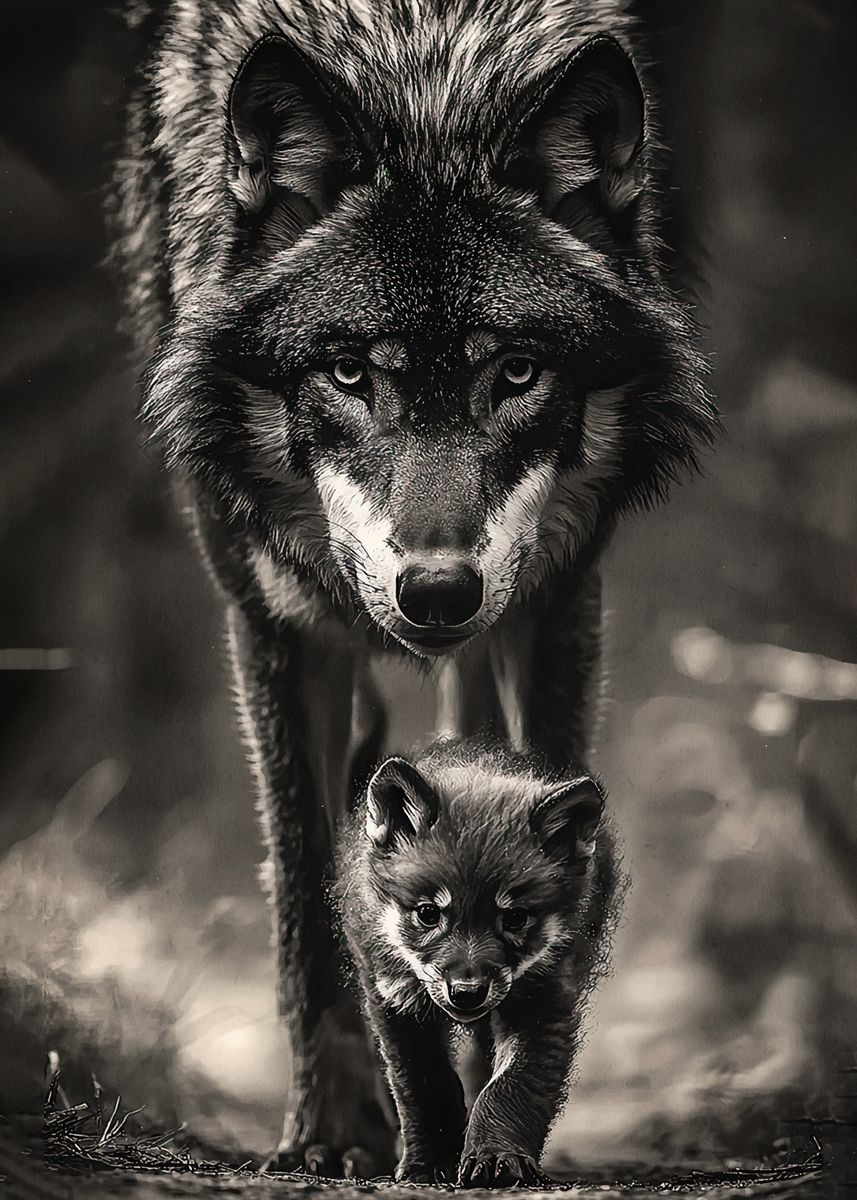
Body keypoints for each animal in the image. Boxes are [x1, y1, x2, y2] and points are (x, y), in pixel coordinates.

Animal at [336, 741, 620, 1186]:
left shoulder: (544, 1000)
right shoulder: (394, 1000)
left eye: (515, 918)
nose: (467, 993)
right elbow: (423, 1084)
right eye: (428, 914)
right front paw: (429, 1162)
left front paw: (497, 1156)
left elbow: (510, 1087)